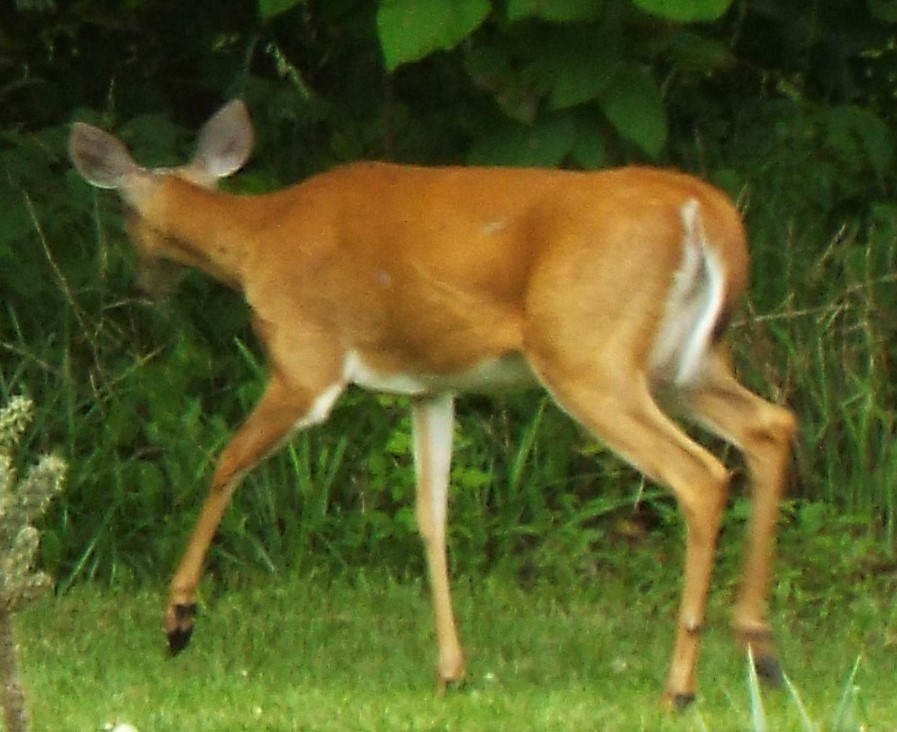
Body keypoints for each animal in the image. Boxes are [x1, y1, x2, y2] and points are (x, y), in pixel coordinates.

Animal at [69, 99, 795, 708]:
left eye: (125, 219)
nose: (141, 287)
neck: (257, 241)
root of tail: (703, 210)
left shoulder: (306, 361)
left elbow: (227, 462)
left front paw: (178, 619)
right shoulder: (430, 386)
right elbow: (431, 516)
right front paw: (451, 670)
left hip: (588, 353)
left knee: (701, 474)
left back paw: (680, 687)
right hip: (683, 363)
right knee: (770, 424)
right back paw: (761, 652)